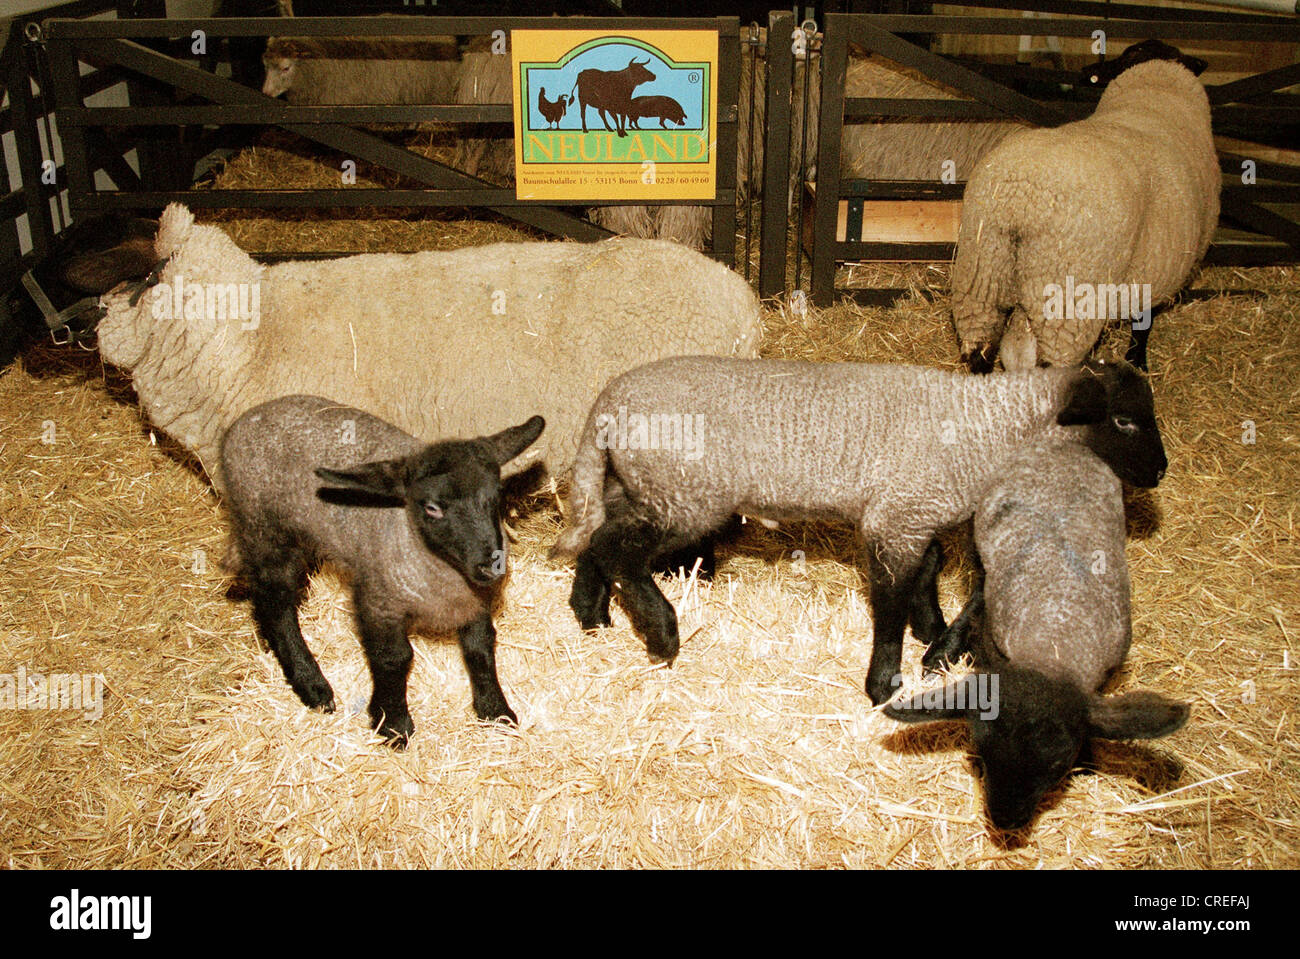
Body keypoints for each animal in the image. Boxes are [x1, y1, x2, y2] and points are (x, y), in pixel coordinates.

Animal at [220, 394, 544, 746]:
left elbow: (480, 648)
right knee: (275, 604)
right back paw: (312, 685)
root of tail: (250, 416)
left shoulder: (475, 601)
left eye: (496, 496)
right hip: (264, 529)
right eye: (432, 508)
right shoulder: (378, 601)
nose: (491, 564)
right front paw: (393, 723)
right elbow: (394, 658)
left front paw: (495, 710)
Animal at [550, 357, 1167, 707]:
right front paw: (885, 684)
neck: (988, 431)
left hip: (638, 485)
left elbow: (928, 572)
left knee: (597, 536)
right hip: (685, 497)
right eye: (1124, 420)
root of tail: (606, 403)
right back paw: (662, 633)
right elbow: (889, 603)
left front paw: (932, 633)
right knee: (617, 549)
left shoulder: (914, 515)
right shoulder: (896, 521)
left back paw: (591, 615)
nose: (1161, 471)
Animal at [950, 40, 1219, 373]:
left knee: (981, 351)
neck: (1152, 97)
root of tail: (1021, 199)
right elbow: (1144, 324)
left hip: (982, 273)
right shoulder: (1159, 273)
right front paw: (1138, 362)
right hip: (1066, 298)